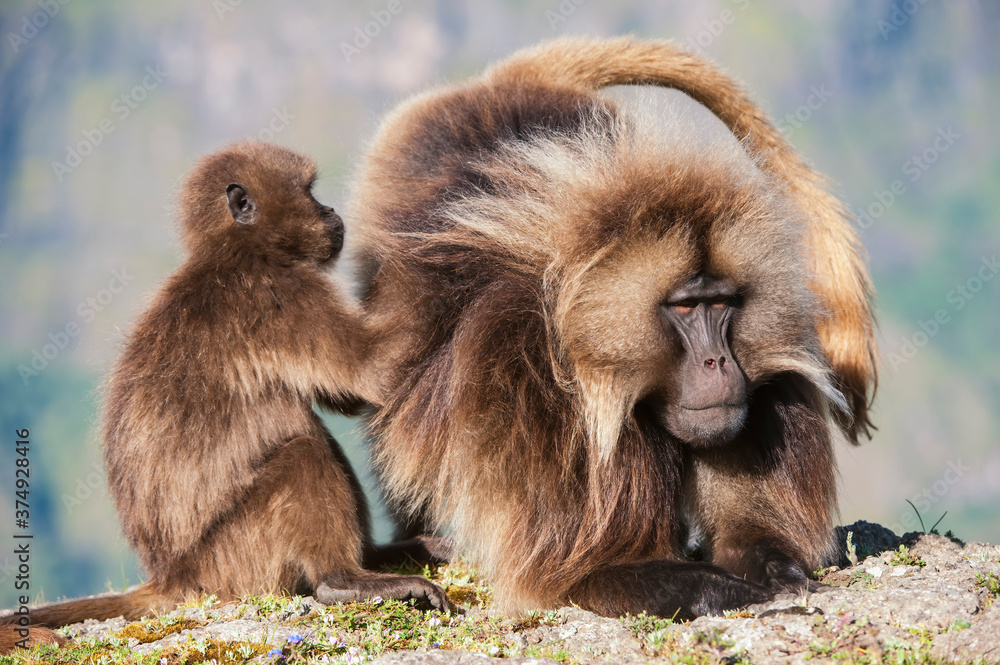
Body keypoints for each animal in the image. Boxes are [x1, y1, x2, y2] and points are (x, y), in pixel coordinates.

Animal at [1, 141, 448, 651]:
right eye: (310, 191)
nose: (332, 212)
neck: (236, 252)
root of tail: (175, 578)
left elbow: (352, 396)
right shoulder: (283, 295)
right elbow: (372, 374)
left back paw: (386, 554)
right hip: (234, 559)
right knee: (303, 456)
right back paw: (346, 580)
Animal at [347, 37, 877, 619]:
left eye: (721, 302)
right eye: (684, 308)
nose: (717, 362)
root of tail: (490, 86)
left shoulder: (762, 401)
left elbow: (749, 537)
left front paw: (783, 575)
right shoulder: (537, 405)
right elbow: (580, 575)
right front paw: (736, 591)